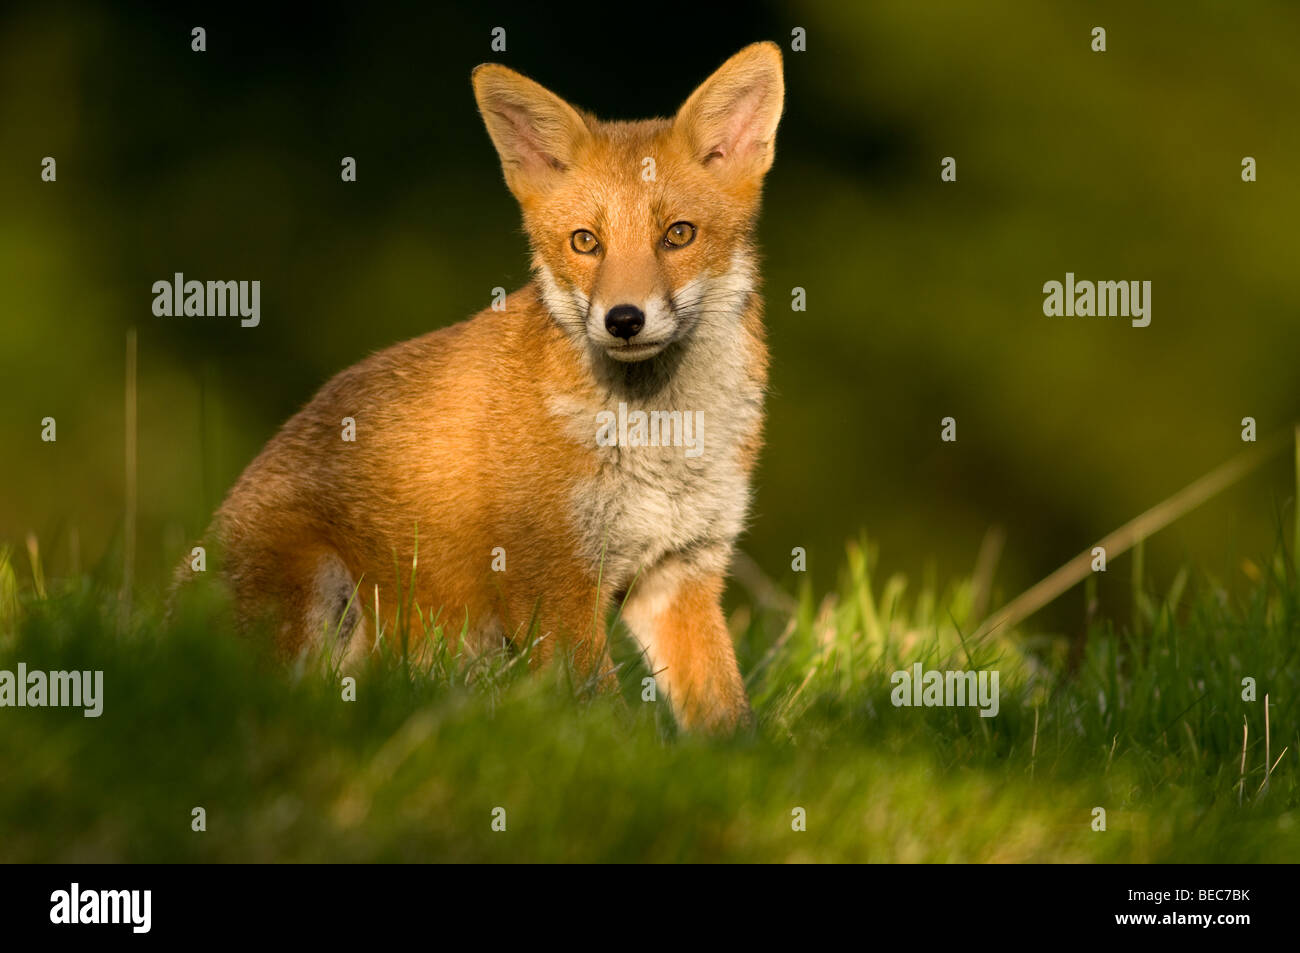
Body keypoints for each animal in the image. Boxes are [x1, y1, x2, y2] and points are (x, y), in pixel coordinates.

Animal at [199, 42, 784, 733]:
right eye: (586, 241)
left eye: (679, 234)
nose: (623, 319)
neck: (660, 439)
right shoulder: (553, 584)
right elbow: (606, 722)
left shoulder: (681, 573)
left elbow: (729, 719)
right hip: (317, 589)